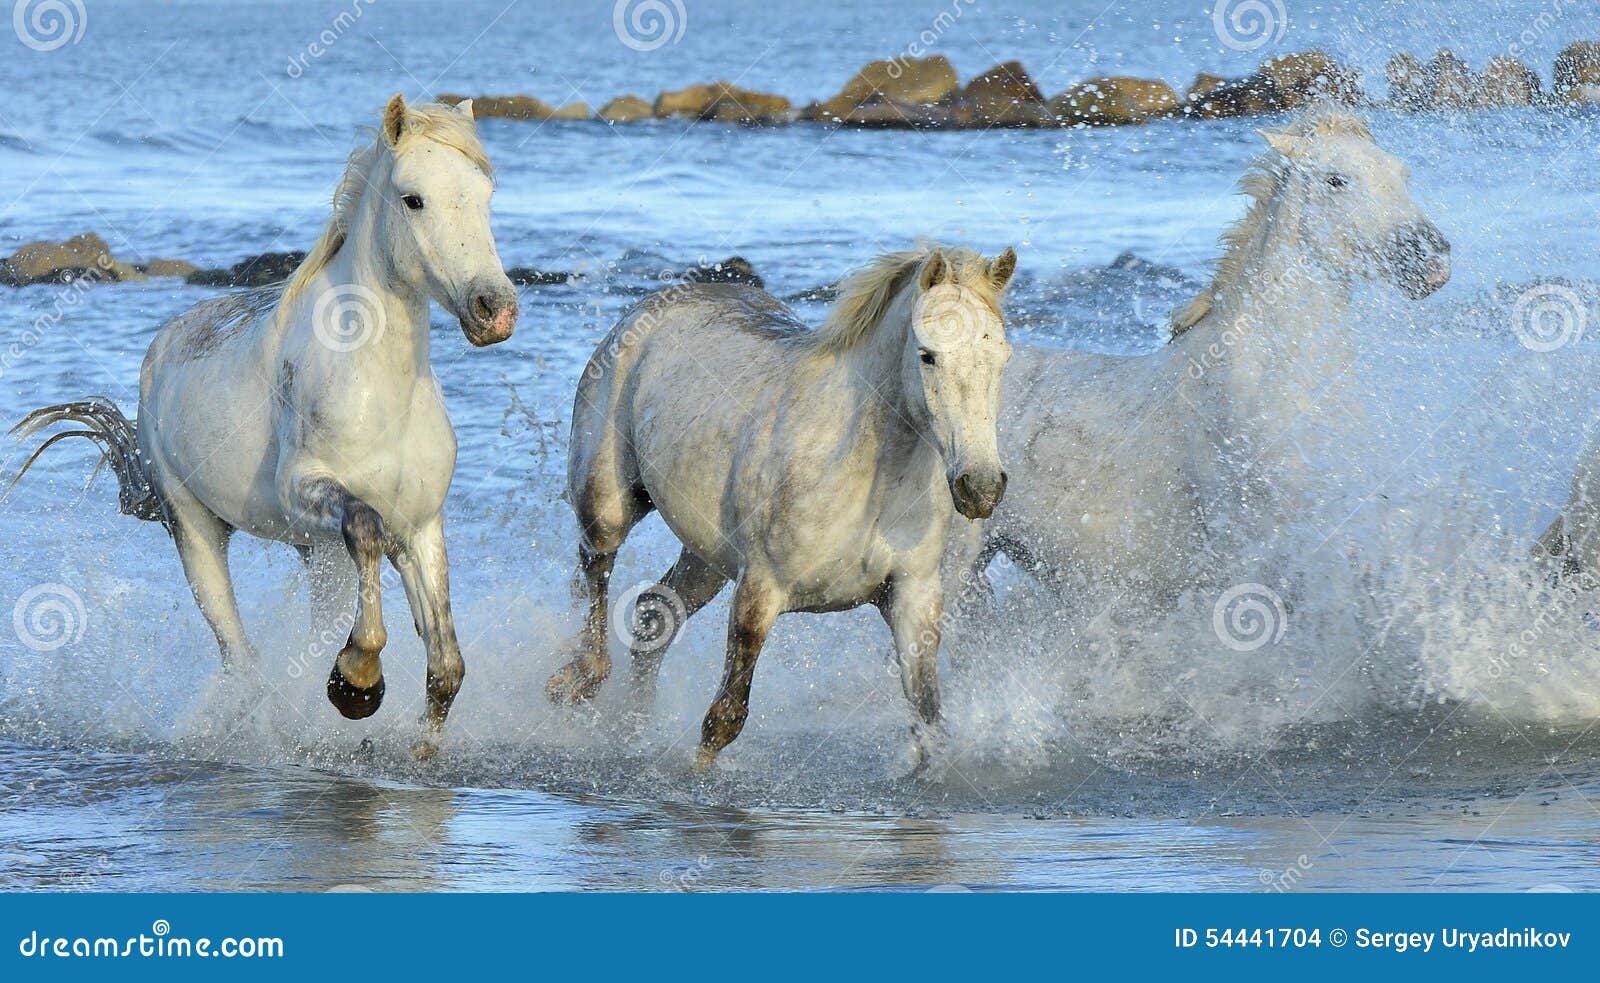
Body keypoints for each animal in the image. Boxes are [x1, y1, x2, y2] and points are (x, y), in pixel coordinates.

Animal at [9, 95, 517, 758]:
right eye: (413, 199)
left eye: (484, 195)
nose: (495, 309)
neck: (381, 389)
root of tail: (161, 350)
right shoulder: (311, 491)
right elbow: (364, 528)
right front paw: (356, 682)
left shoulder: (421, 525)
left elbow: (447, 666)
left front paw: (417, 749)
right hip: (197, 533)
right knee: (241, 658)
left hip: (315, 553)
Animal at [549, 243, 1017, 771]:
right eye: (927, 356)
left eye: (1001, 356)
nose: (980, 487)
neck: (866, 472)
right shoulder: (759, 590)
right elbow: (724, 719)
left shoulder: (914, 598)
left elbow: (930, 726)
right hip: (608, 503)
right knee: (598, 568)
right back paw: (577, 682)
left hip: (708, 558)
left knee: (655, 612)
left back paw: (633, 730)